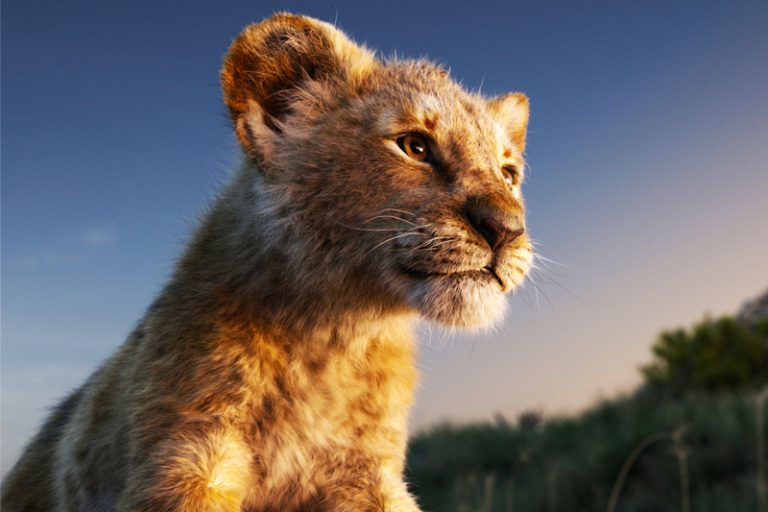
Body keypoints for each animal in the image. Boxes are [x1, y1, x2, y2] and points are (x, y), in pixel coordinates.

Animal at [1, 13, 532, 511]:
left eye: (509, 173)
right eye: (415, 146)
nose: (507, 228)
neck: (334, 337)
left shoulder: (366, 473)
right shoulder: (186, 455)